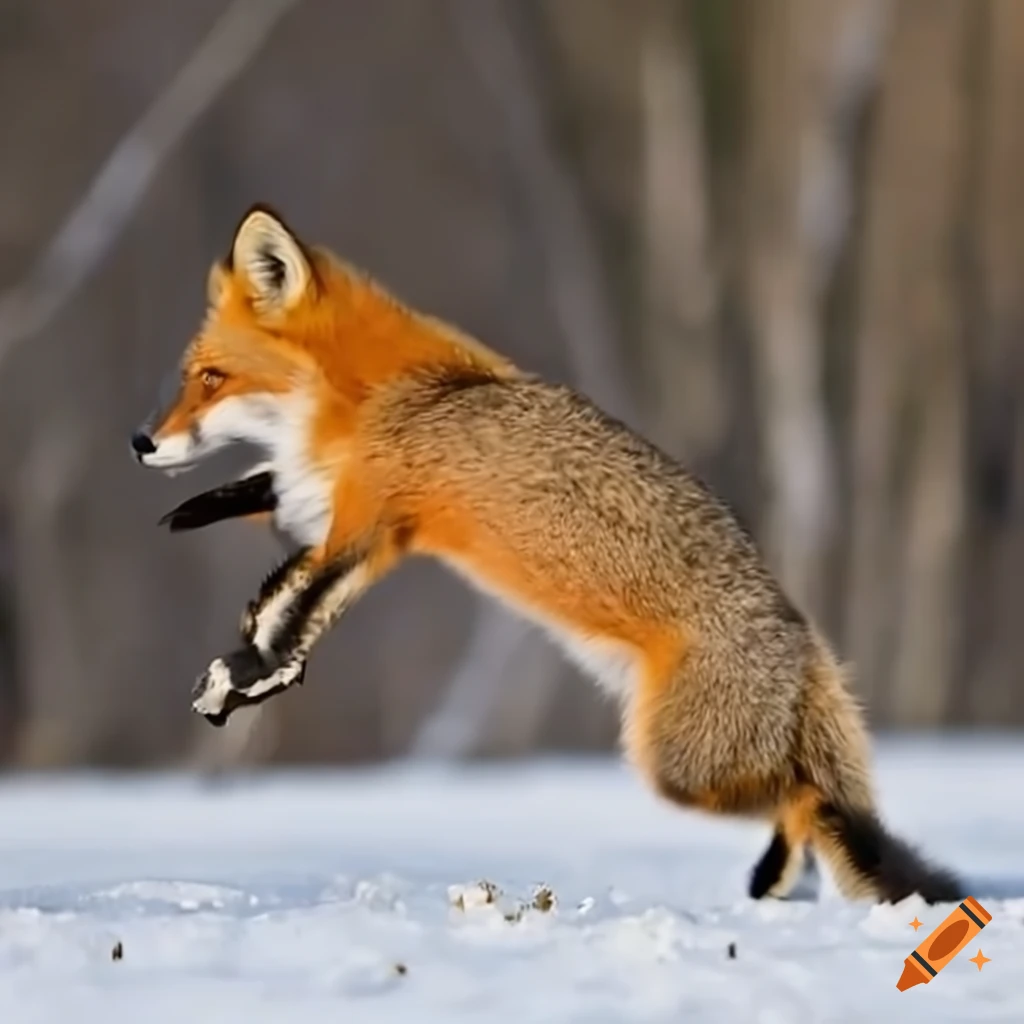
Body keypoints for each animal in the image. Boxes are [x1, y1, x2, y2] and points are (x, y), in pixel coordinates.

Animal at [132, 204, 963, 905]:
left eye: (211, 377)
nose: (142, 442)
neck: (379, 396)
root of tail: (805, 636)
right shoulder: (344, 514)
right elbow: (278, 579)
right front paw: (221, 584)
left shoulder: (371, 522)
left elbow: (293, 611)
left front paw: (249, 674)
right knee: (809, 803)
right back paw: (783, 879)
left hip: (677, 770)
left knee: (806, 797)